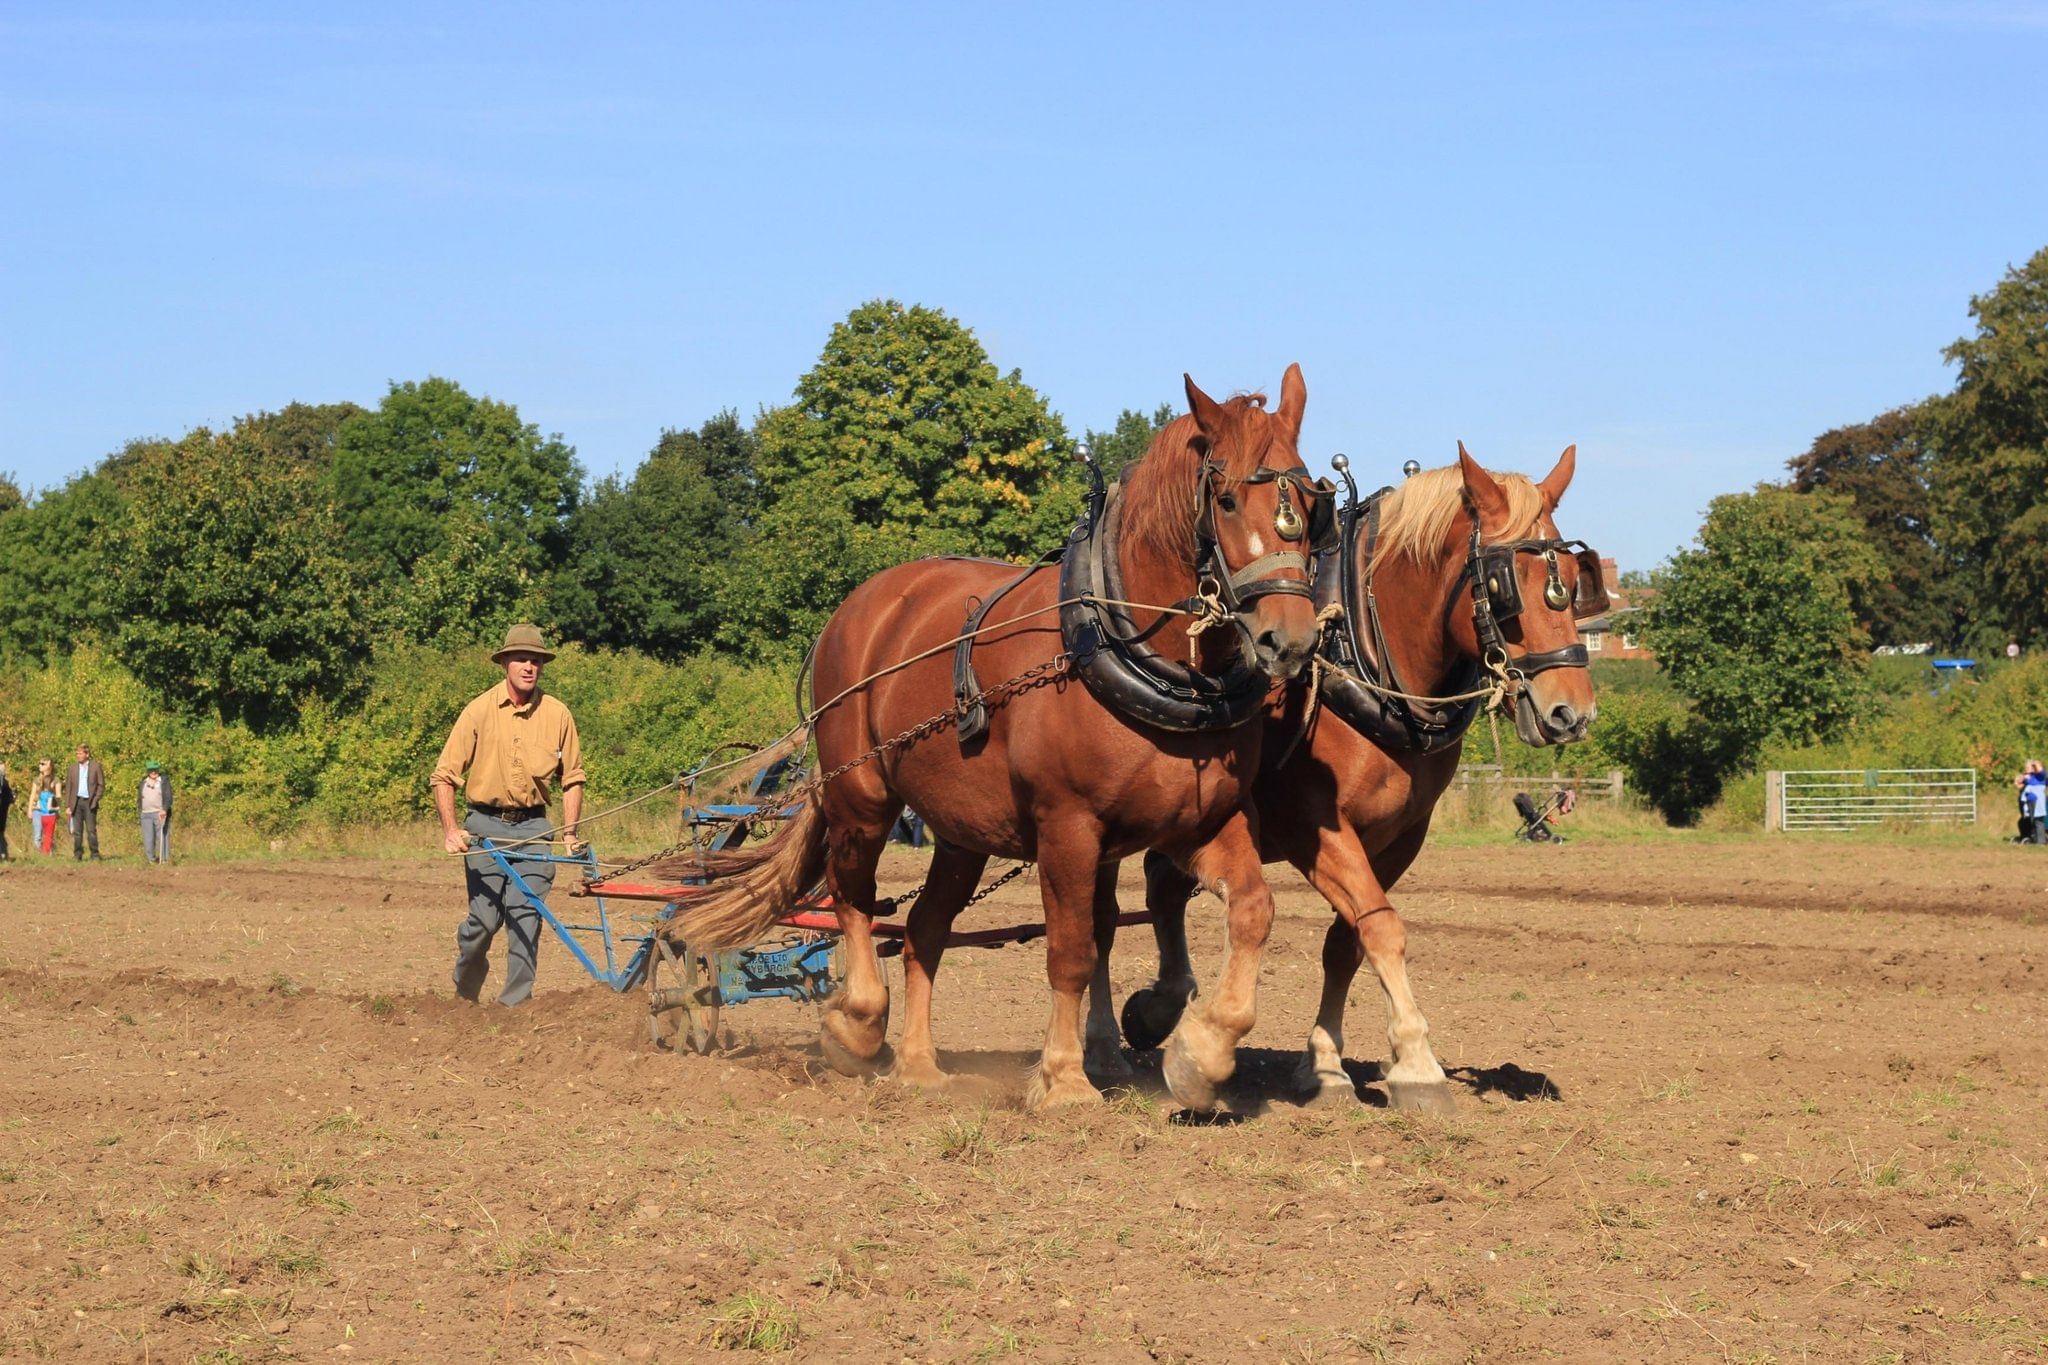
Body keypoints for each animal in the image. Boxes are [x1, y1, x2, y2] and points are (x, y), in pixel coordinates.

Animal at [1122, 446, 1597, 1113]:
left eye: (1574, 583)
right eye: (1504, 586)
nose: (1571, 713)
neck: (1362, 655)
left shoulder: (1400, 836)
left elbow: (1349, 939)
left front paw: (1324, 1066)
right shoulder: (1312, 826)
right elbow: (1382, 928)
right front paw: (1418, 1064)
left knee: (1162, 885)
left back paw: (1160, 1008)